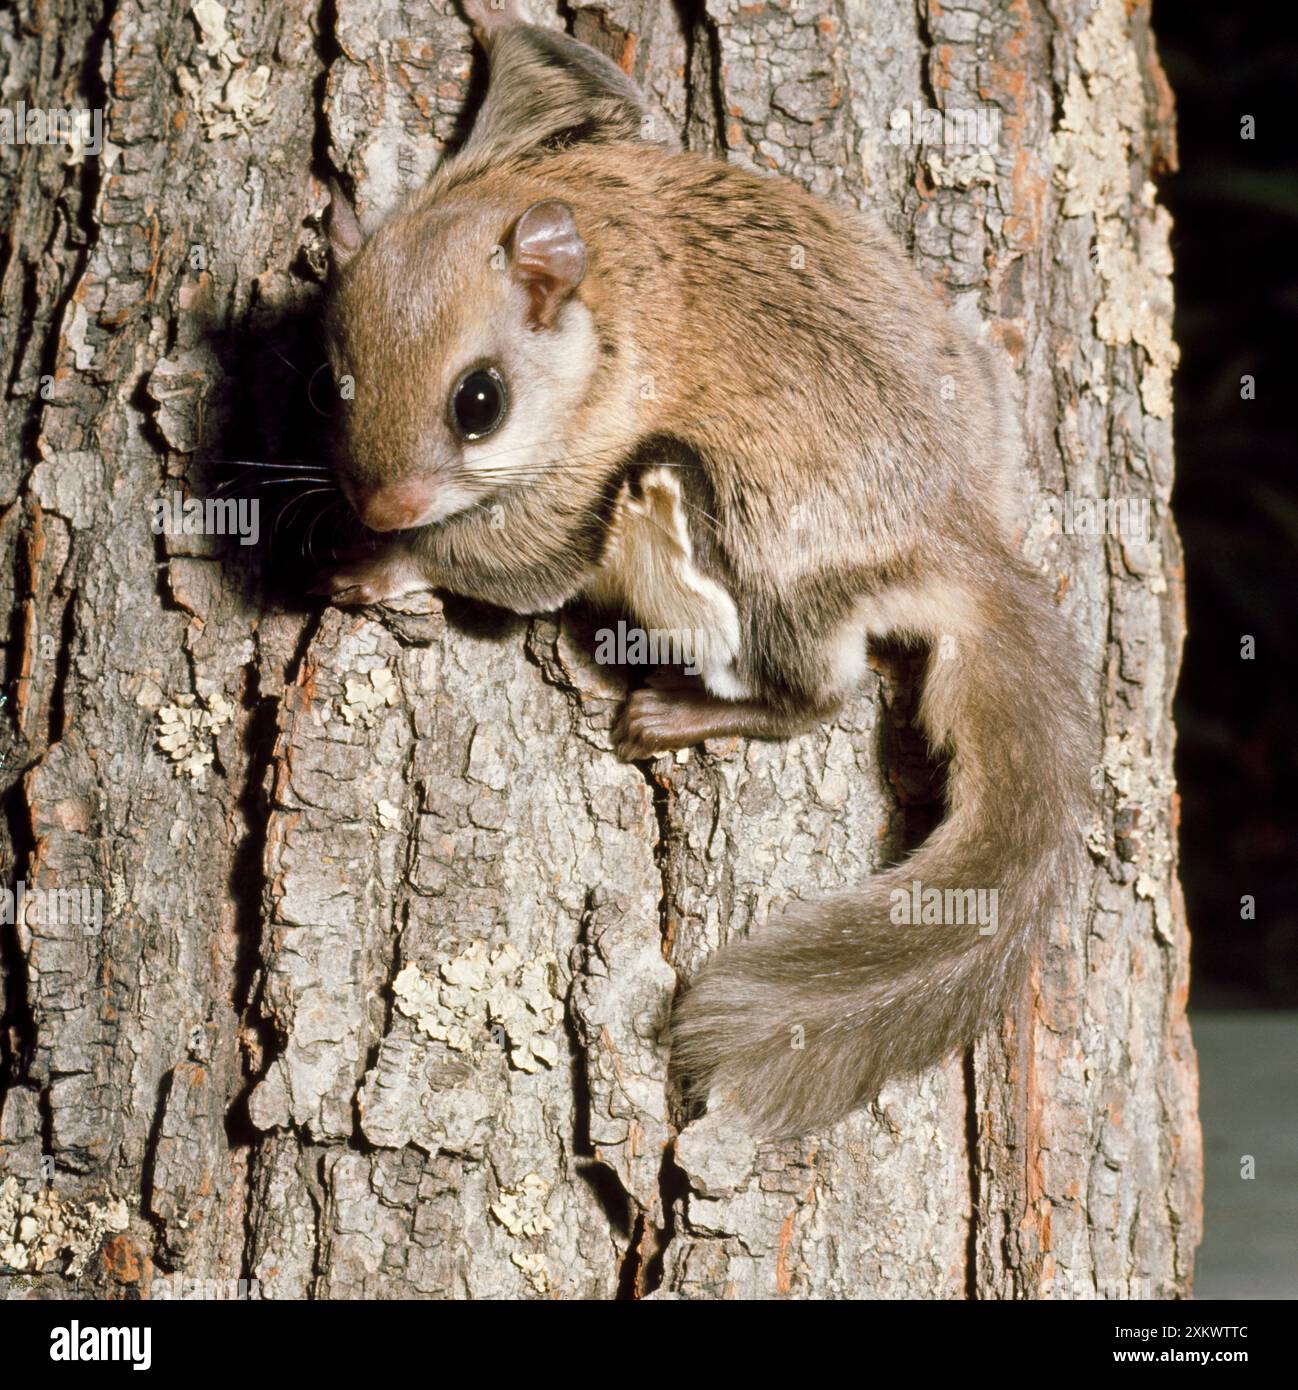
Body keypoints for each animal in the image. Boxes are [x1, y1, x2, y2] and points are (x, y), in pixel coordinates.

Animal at [314, 0, 1092, 1138]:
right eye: (331, 381)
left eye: (477, 401)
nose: (379, 507)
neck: (602, 296)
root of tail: (957, 534)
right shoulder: (555, 125)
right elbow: (568, 67)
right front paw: (487, 19)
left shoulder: (570, 492)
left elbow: (509, 568)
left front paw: (385, 565)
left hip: (736, 544)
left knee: (813, 694)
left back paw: (676, 713)